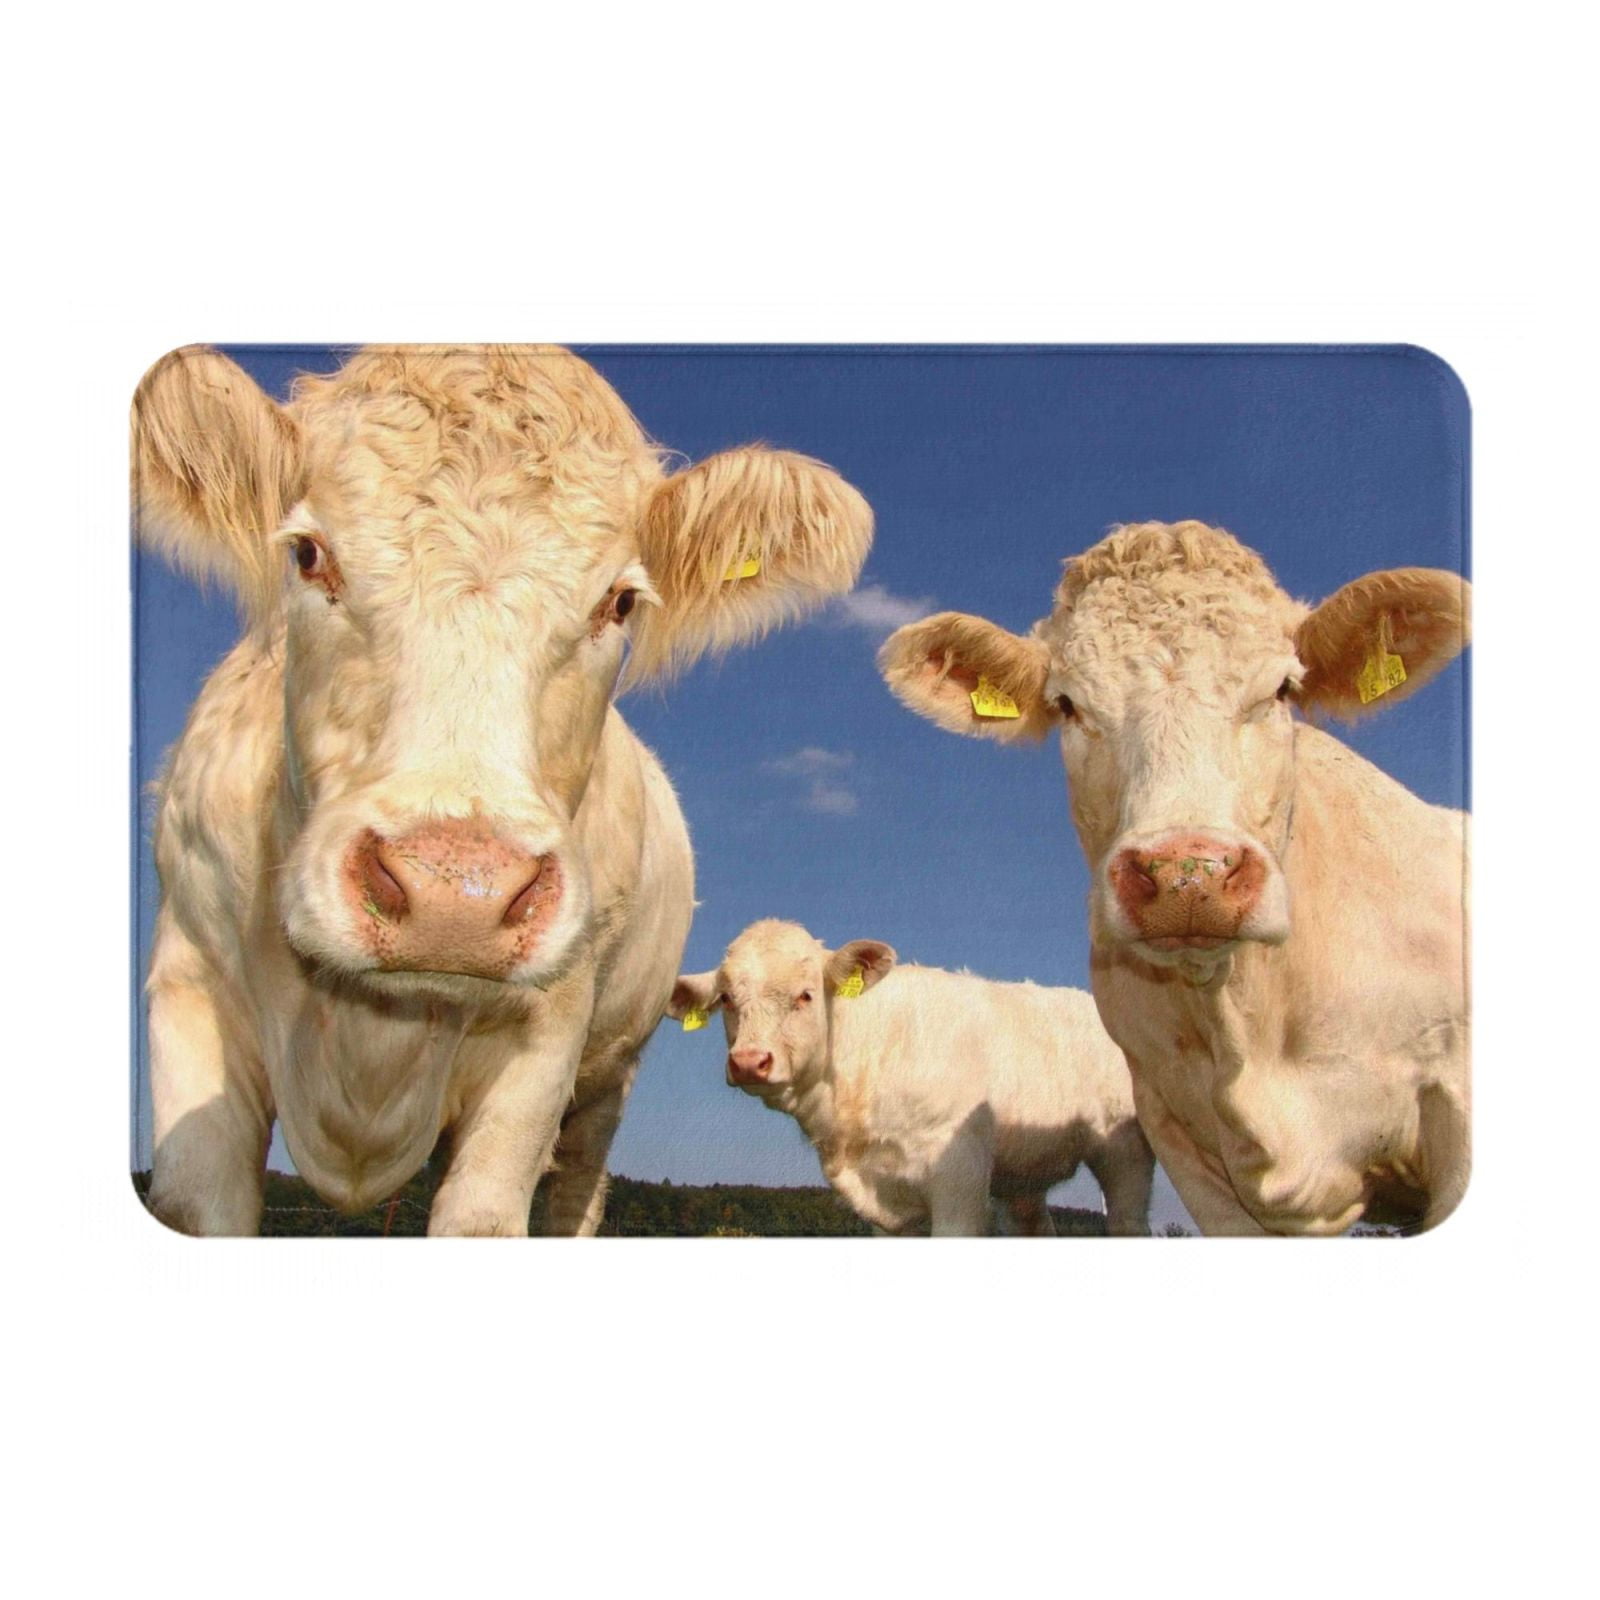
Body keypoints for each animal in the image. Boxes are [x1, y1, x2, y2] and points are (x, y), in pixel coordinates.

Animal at [133, 345, 873, 1236]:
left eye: (620, 601)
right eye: (308, 554)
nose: (455, 896)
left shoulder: (546, 1045)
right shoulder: (190, 988)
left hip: (606, 1079)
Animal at [668, 919, 1154, 1236]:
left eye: (805, 995)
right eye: (727, 999)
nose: (750, 1061)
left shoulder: (959, 1180)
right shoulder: (885, 1209)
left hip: (1125, 1150)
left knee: (1128, 1221)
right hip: (1022, 1176)